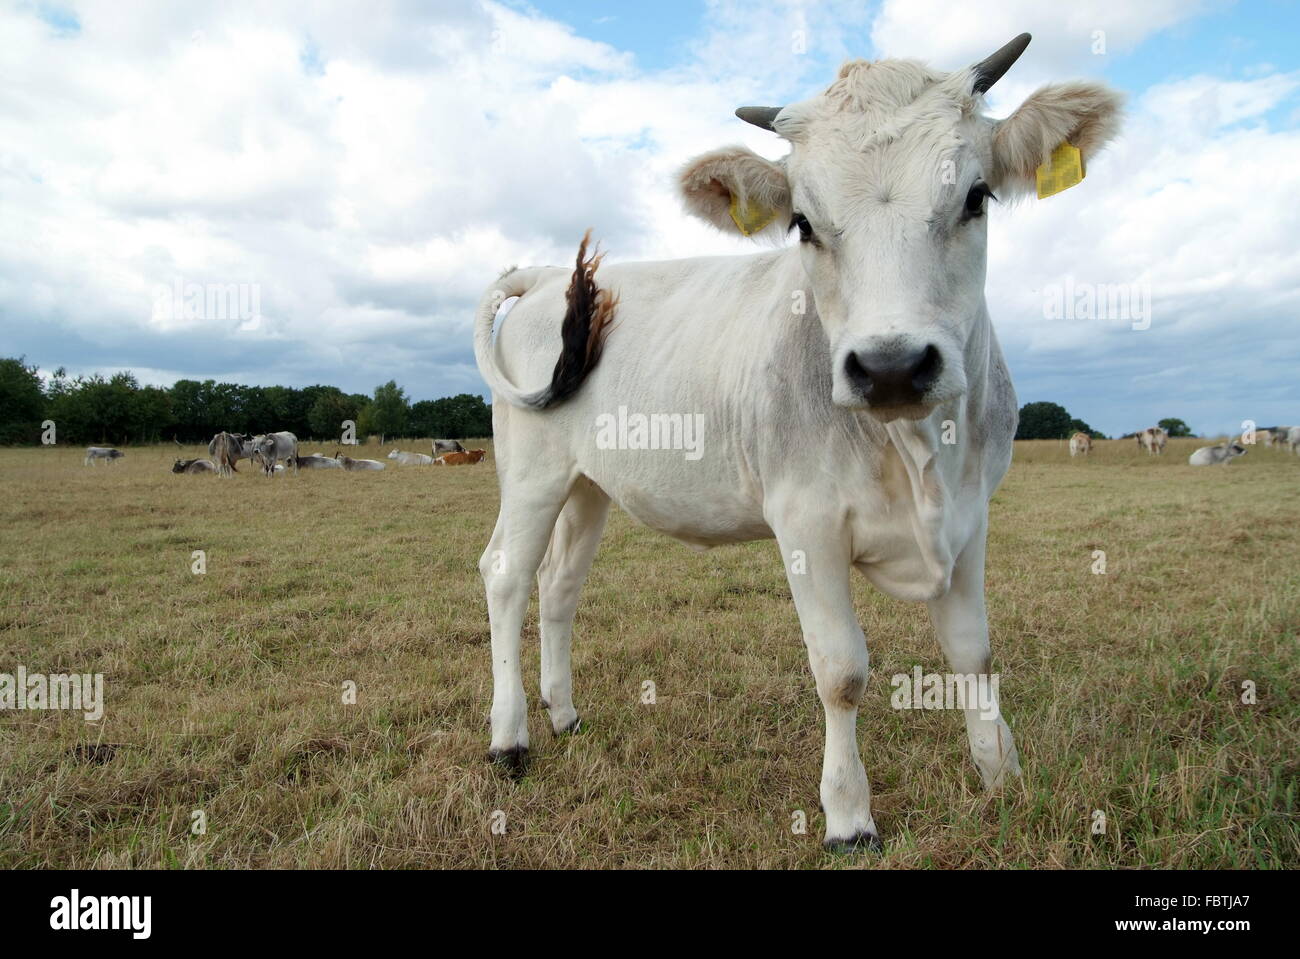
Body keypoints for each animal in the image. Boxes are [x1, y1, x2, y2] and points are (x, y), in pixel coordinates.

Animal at [470, 35, 1122, 849]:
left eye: (976, 196)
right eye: (803, 222)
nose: (891, 365)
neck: (918, 454)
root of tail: (547, 275)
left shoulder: (973, 516)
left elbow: (974, 650)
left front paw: (1000, 772)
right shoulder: (805, 523)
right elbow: (842, 671)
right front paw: (848, 814)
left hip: (588, 484)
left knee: (560, 585)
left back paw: (565, 715)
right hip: (531, 473)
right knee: (505, 575)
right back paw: (510, 738)